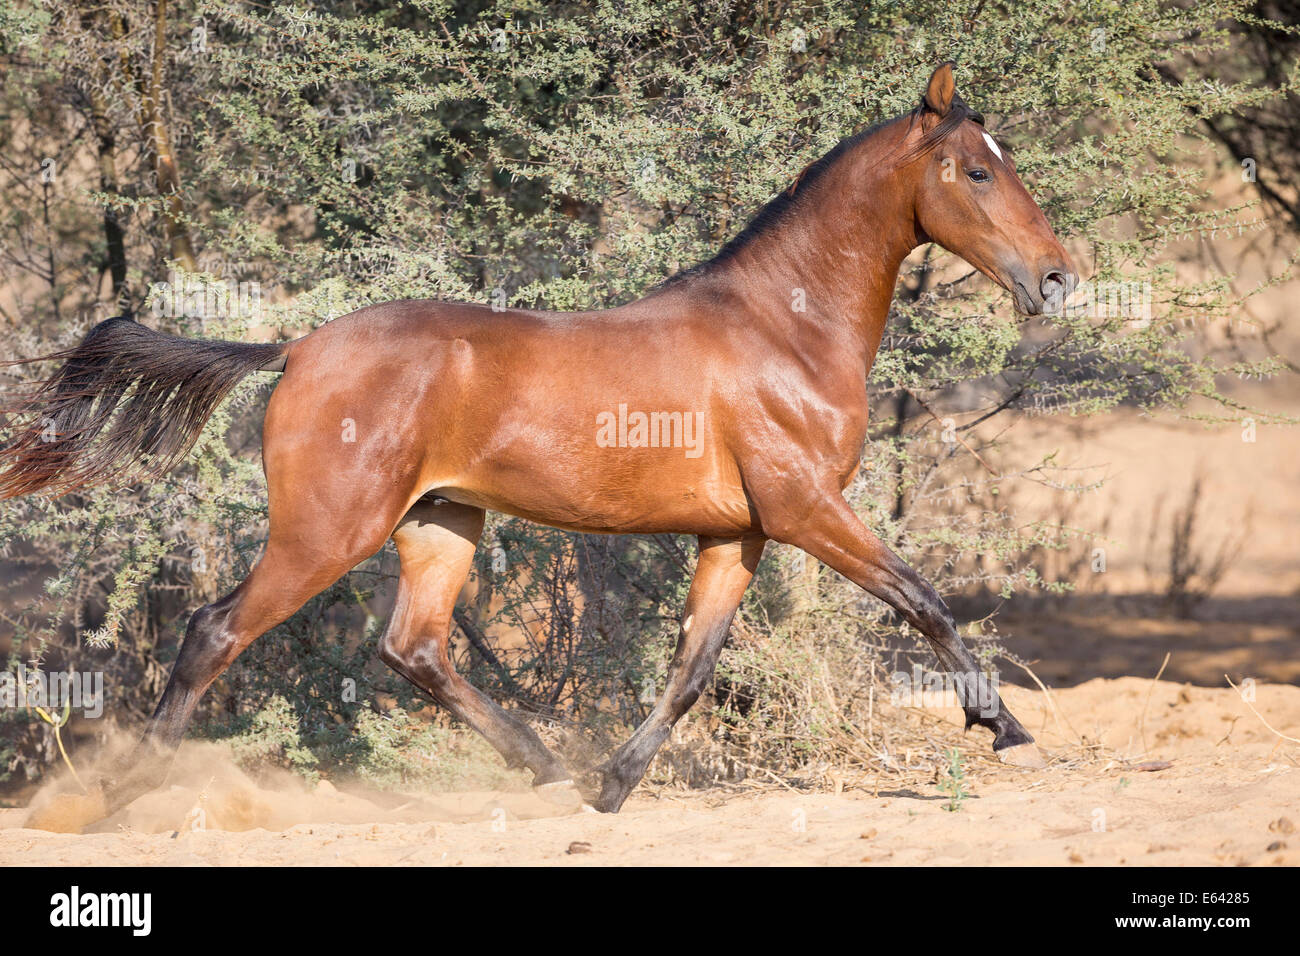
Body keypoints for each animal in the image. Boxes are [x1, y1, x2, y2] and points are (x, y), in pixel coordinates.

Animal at [1, 63, 1075, 820]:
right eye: (977, 169)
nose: (1060, 279)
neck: (782, 328)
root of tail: (300, 348)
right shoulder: (807, 508)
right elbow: (924, 599)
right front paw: (1004, 725)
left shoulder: (738, 533)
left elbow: (692, 669)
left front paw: (612, 784)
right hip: (327, 532)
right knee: (215, 632)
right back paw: (129, 792)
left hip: (441, 523)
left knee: (414, 648)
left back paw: (549, 768)